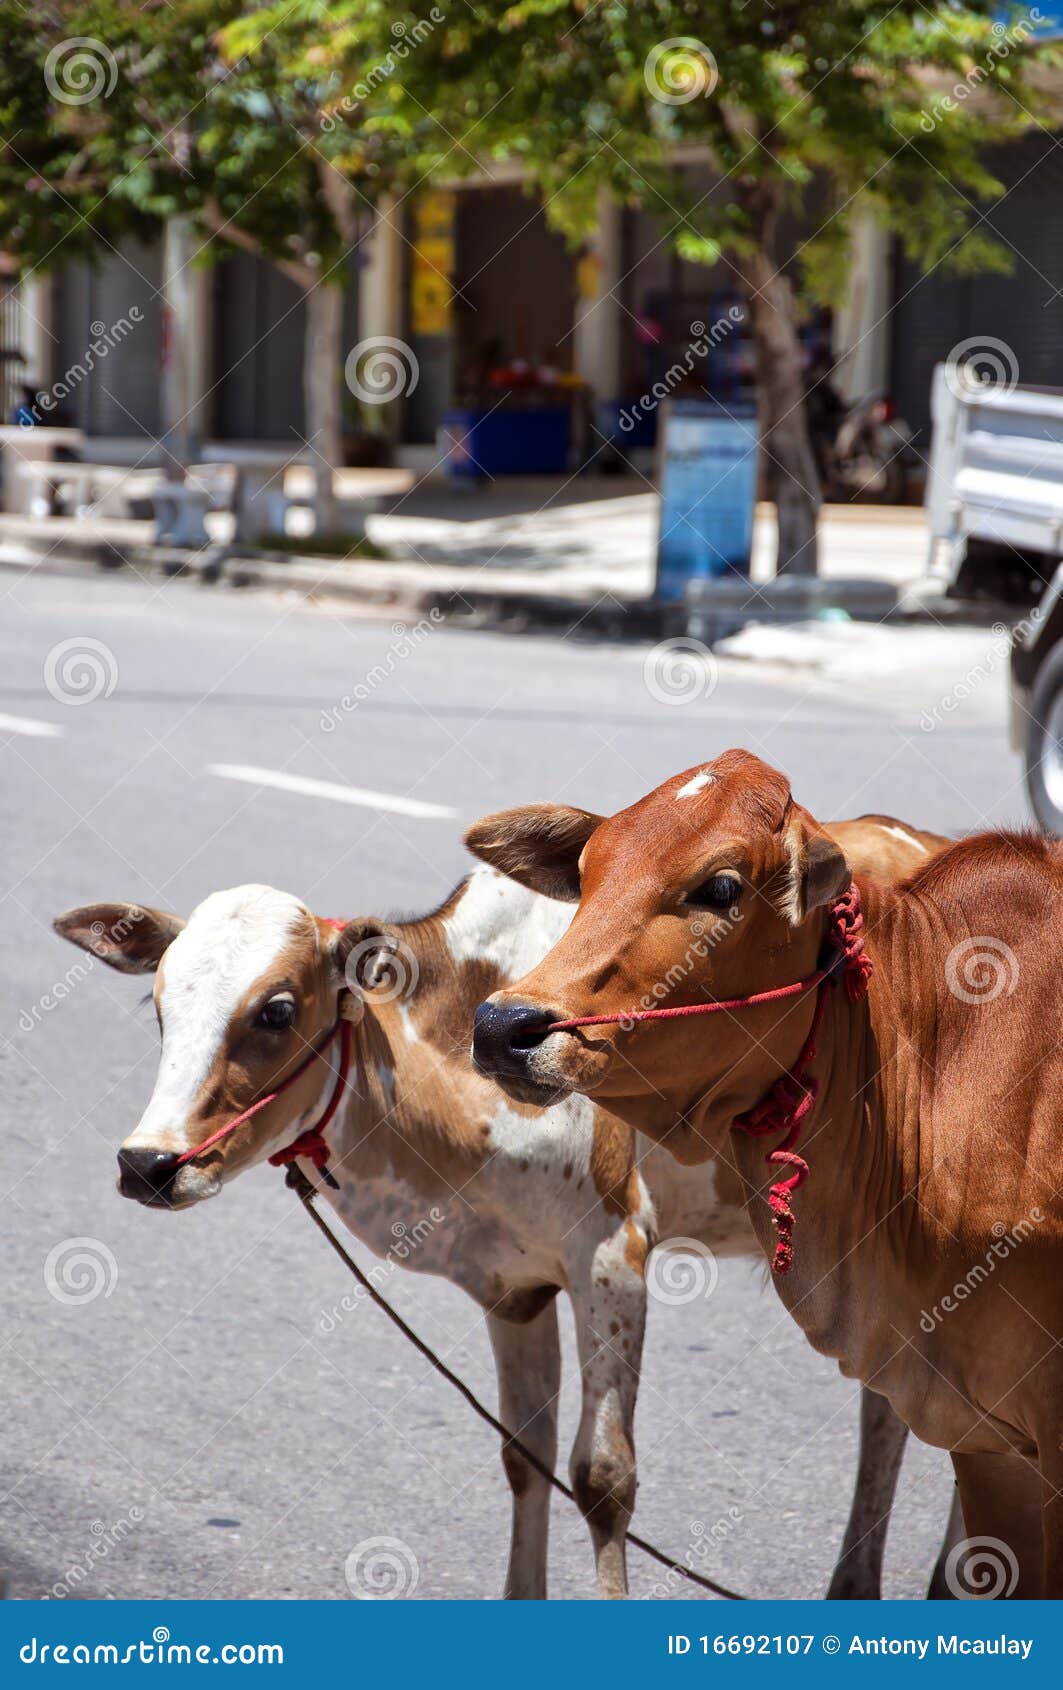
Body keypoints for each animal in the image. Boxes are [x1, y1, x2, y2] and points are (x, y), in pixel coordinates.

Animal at [54, 810, 954, 1600]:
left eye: (276, 1010)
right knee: (891, 1410)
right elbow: (526, 1455)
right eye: (160, 1008)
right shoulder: (511, 1287)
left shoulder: (611, 1256)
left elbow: (602, 1477)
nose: (148, 1163)